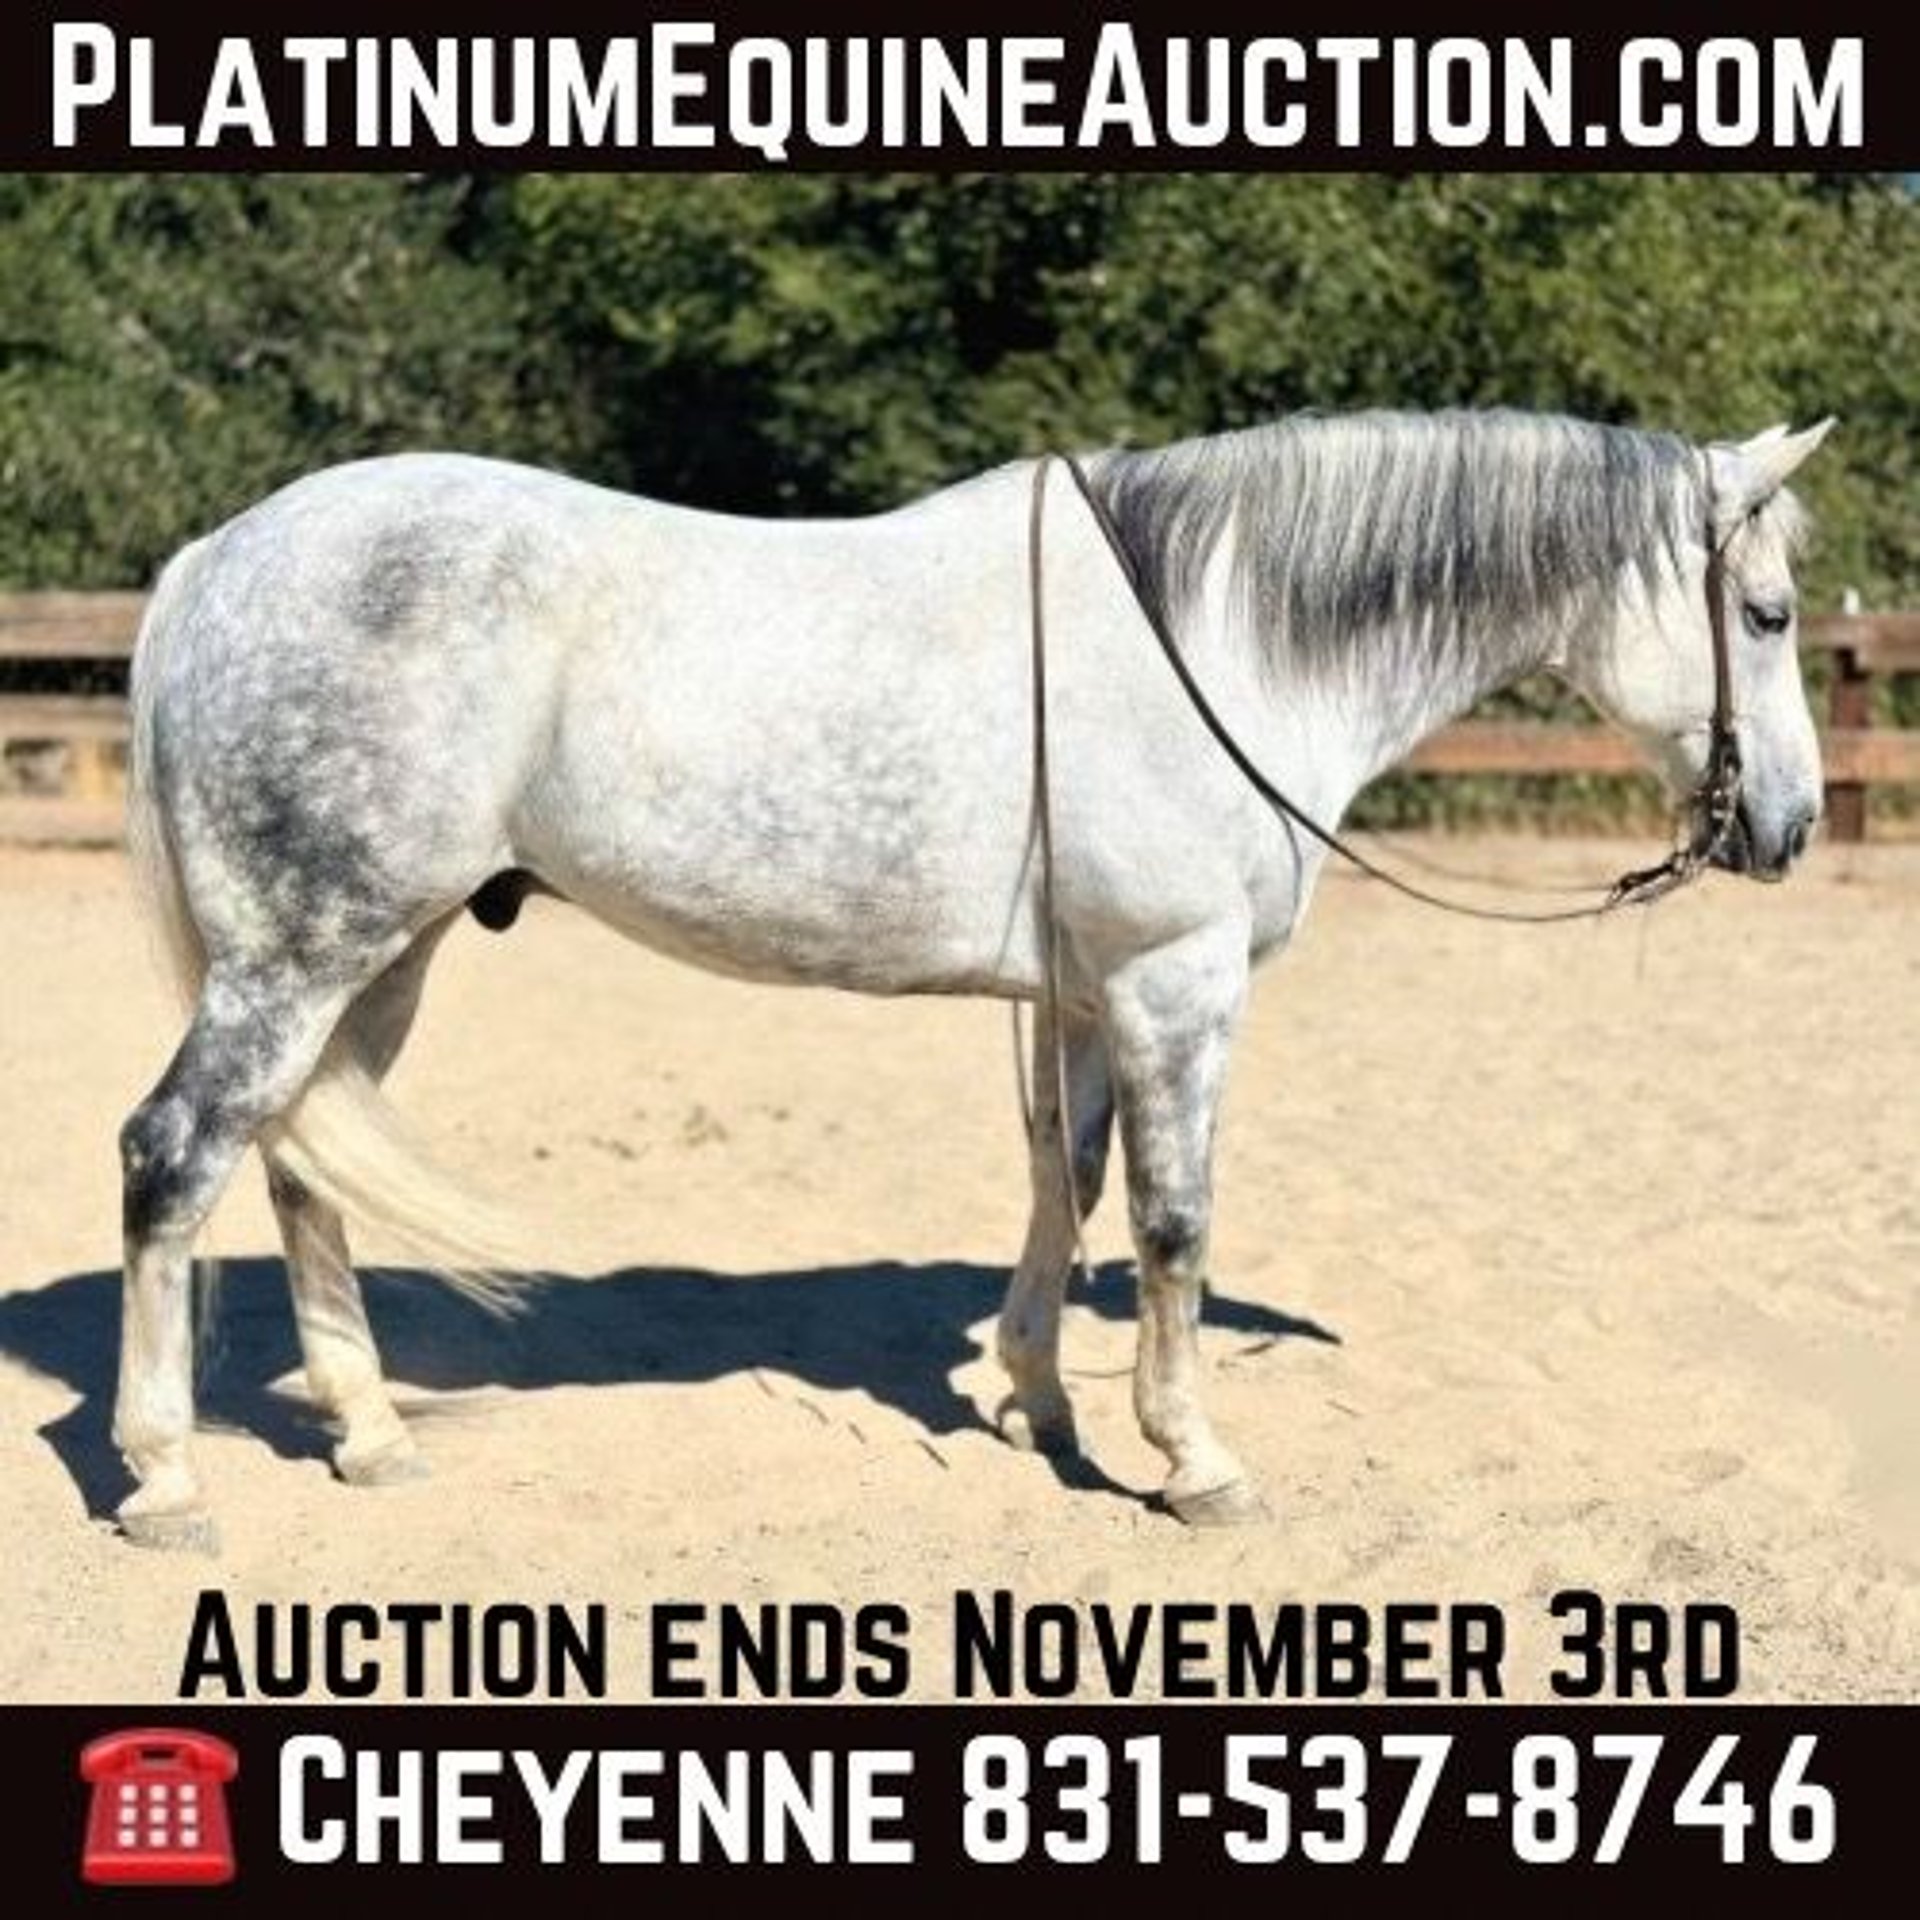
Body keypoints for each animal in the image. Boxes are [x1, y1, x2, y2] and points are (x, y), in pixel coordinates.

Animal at [113, 406, 1831, 1550]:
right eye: (1766, 612)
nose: (1793, 826)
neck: (1216, 639)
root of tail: (212, 561)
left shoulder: (1083, 996)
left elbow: (1064, 1186)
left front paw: (1035, 1400)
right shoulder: (1175, 982)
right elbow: (1172, 1221)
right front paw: (1193, 1460)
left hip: (379, 960)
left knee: (301, 1171)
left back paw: (368, 1437)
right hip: (302, 954)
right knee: (174, 1159)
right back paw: (166, 1478)